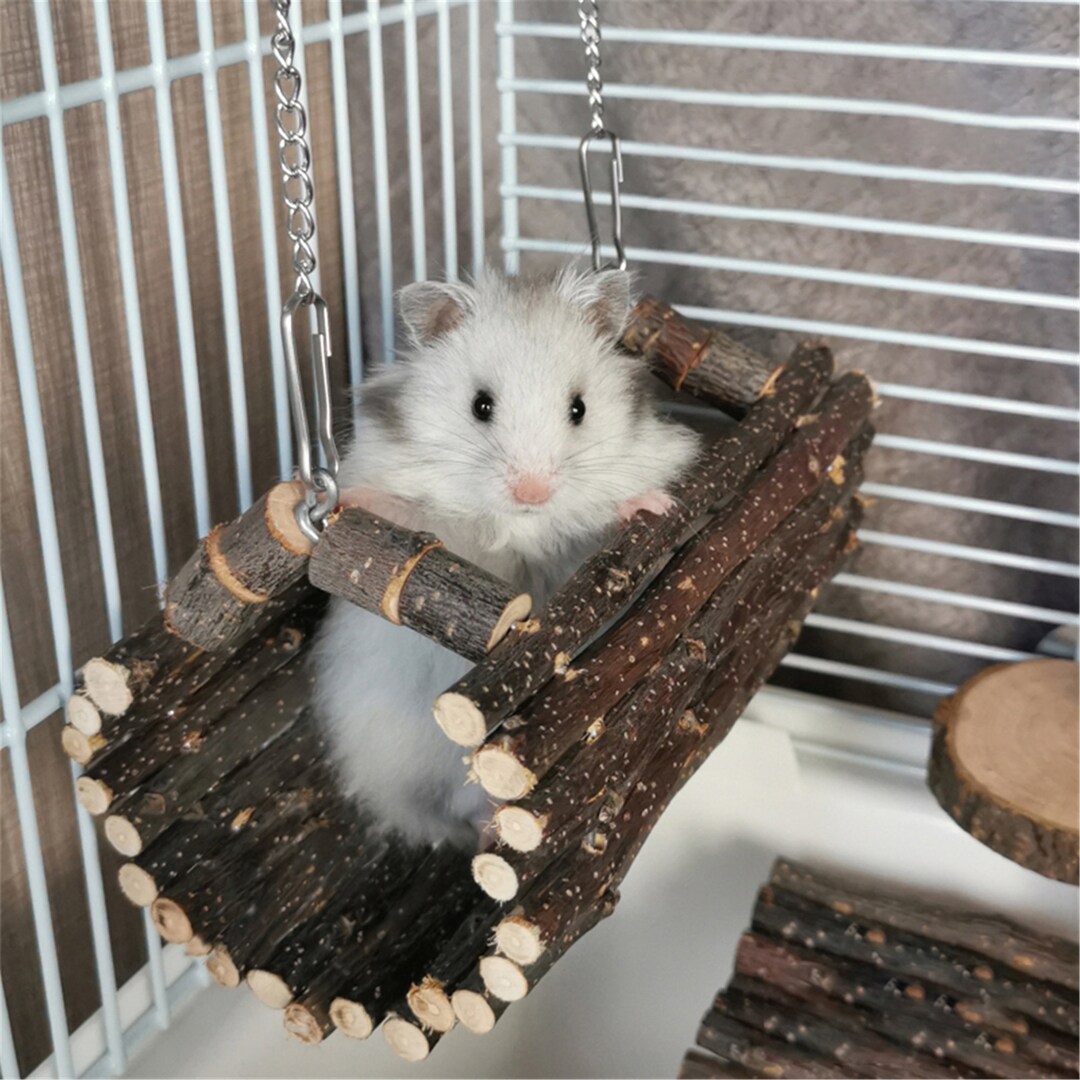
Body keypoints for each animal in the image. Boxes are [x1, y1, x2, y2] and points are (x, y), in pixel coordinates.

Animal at [311, 267, 700, 847]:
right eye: (481, 406)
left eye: (579, 409)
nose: (533, 493)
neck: (520, 525)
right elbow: (422, 522)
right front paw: (348, 501)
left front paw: (653, 504)